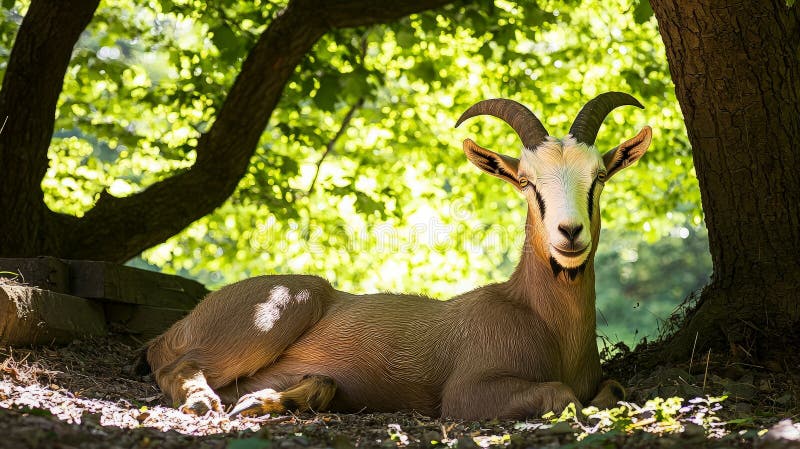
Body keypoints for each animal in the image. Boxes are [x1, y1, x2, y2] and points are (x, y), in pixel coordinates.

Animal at [146, 92, 652, 419]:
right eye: (526, 181)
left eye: (599, 176)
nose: (570, 233)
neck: (543, 319)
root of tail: (186, 320)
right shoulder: (467, 392)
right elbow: (560, 395)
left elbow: (613, 388)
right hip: (275, 312)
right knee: (172, 363)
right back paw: (204, 401)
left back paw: (271, 399)